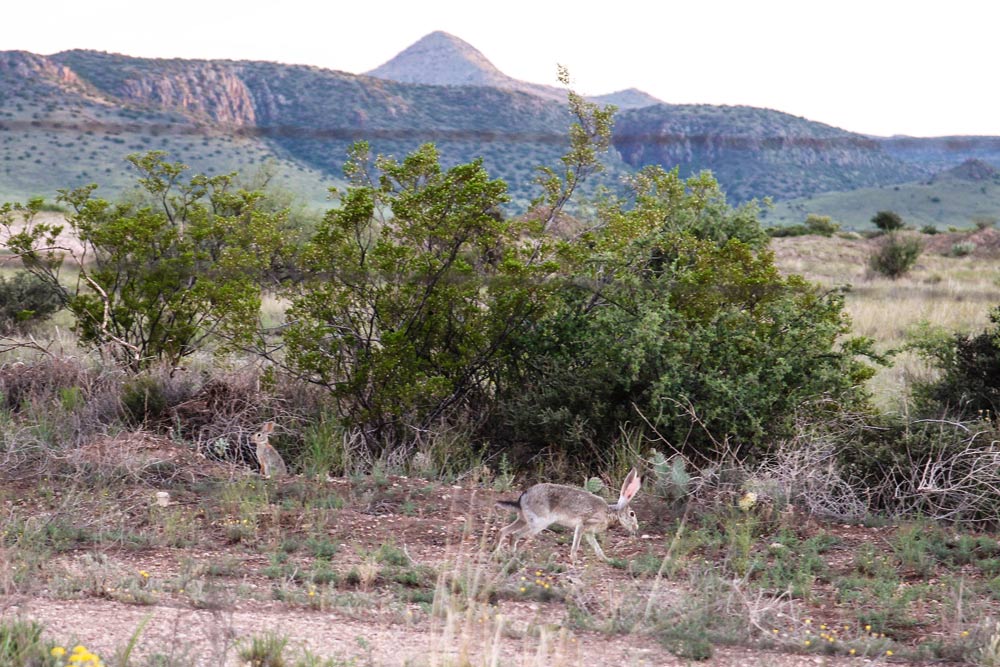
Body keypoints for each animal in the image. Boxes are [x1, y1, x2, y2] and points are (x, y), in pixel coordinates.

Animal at [495, 468, 641, 561]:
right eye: (632, 514)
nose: (636, 527)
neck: (611, 512)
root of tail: (522, 499)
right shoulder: (584, 524)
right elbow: (576, 543)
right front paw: (574, 559)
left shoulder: (589, 533)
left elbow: (596, 547)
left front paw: (606, 559)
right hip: (538, 523)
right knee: (514, 535)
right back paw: (514, 556)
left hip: (523, 519)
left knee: (504, 531)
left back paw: (498, 552)